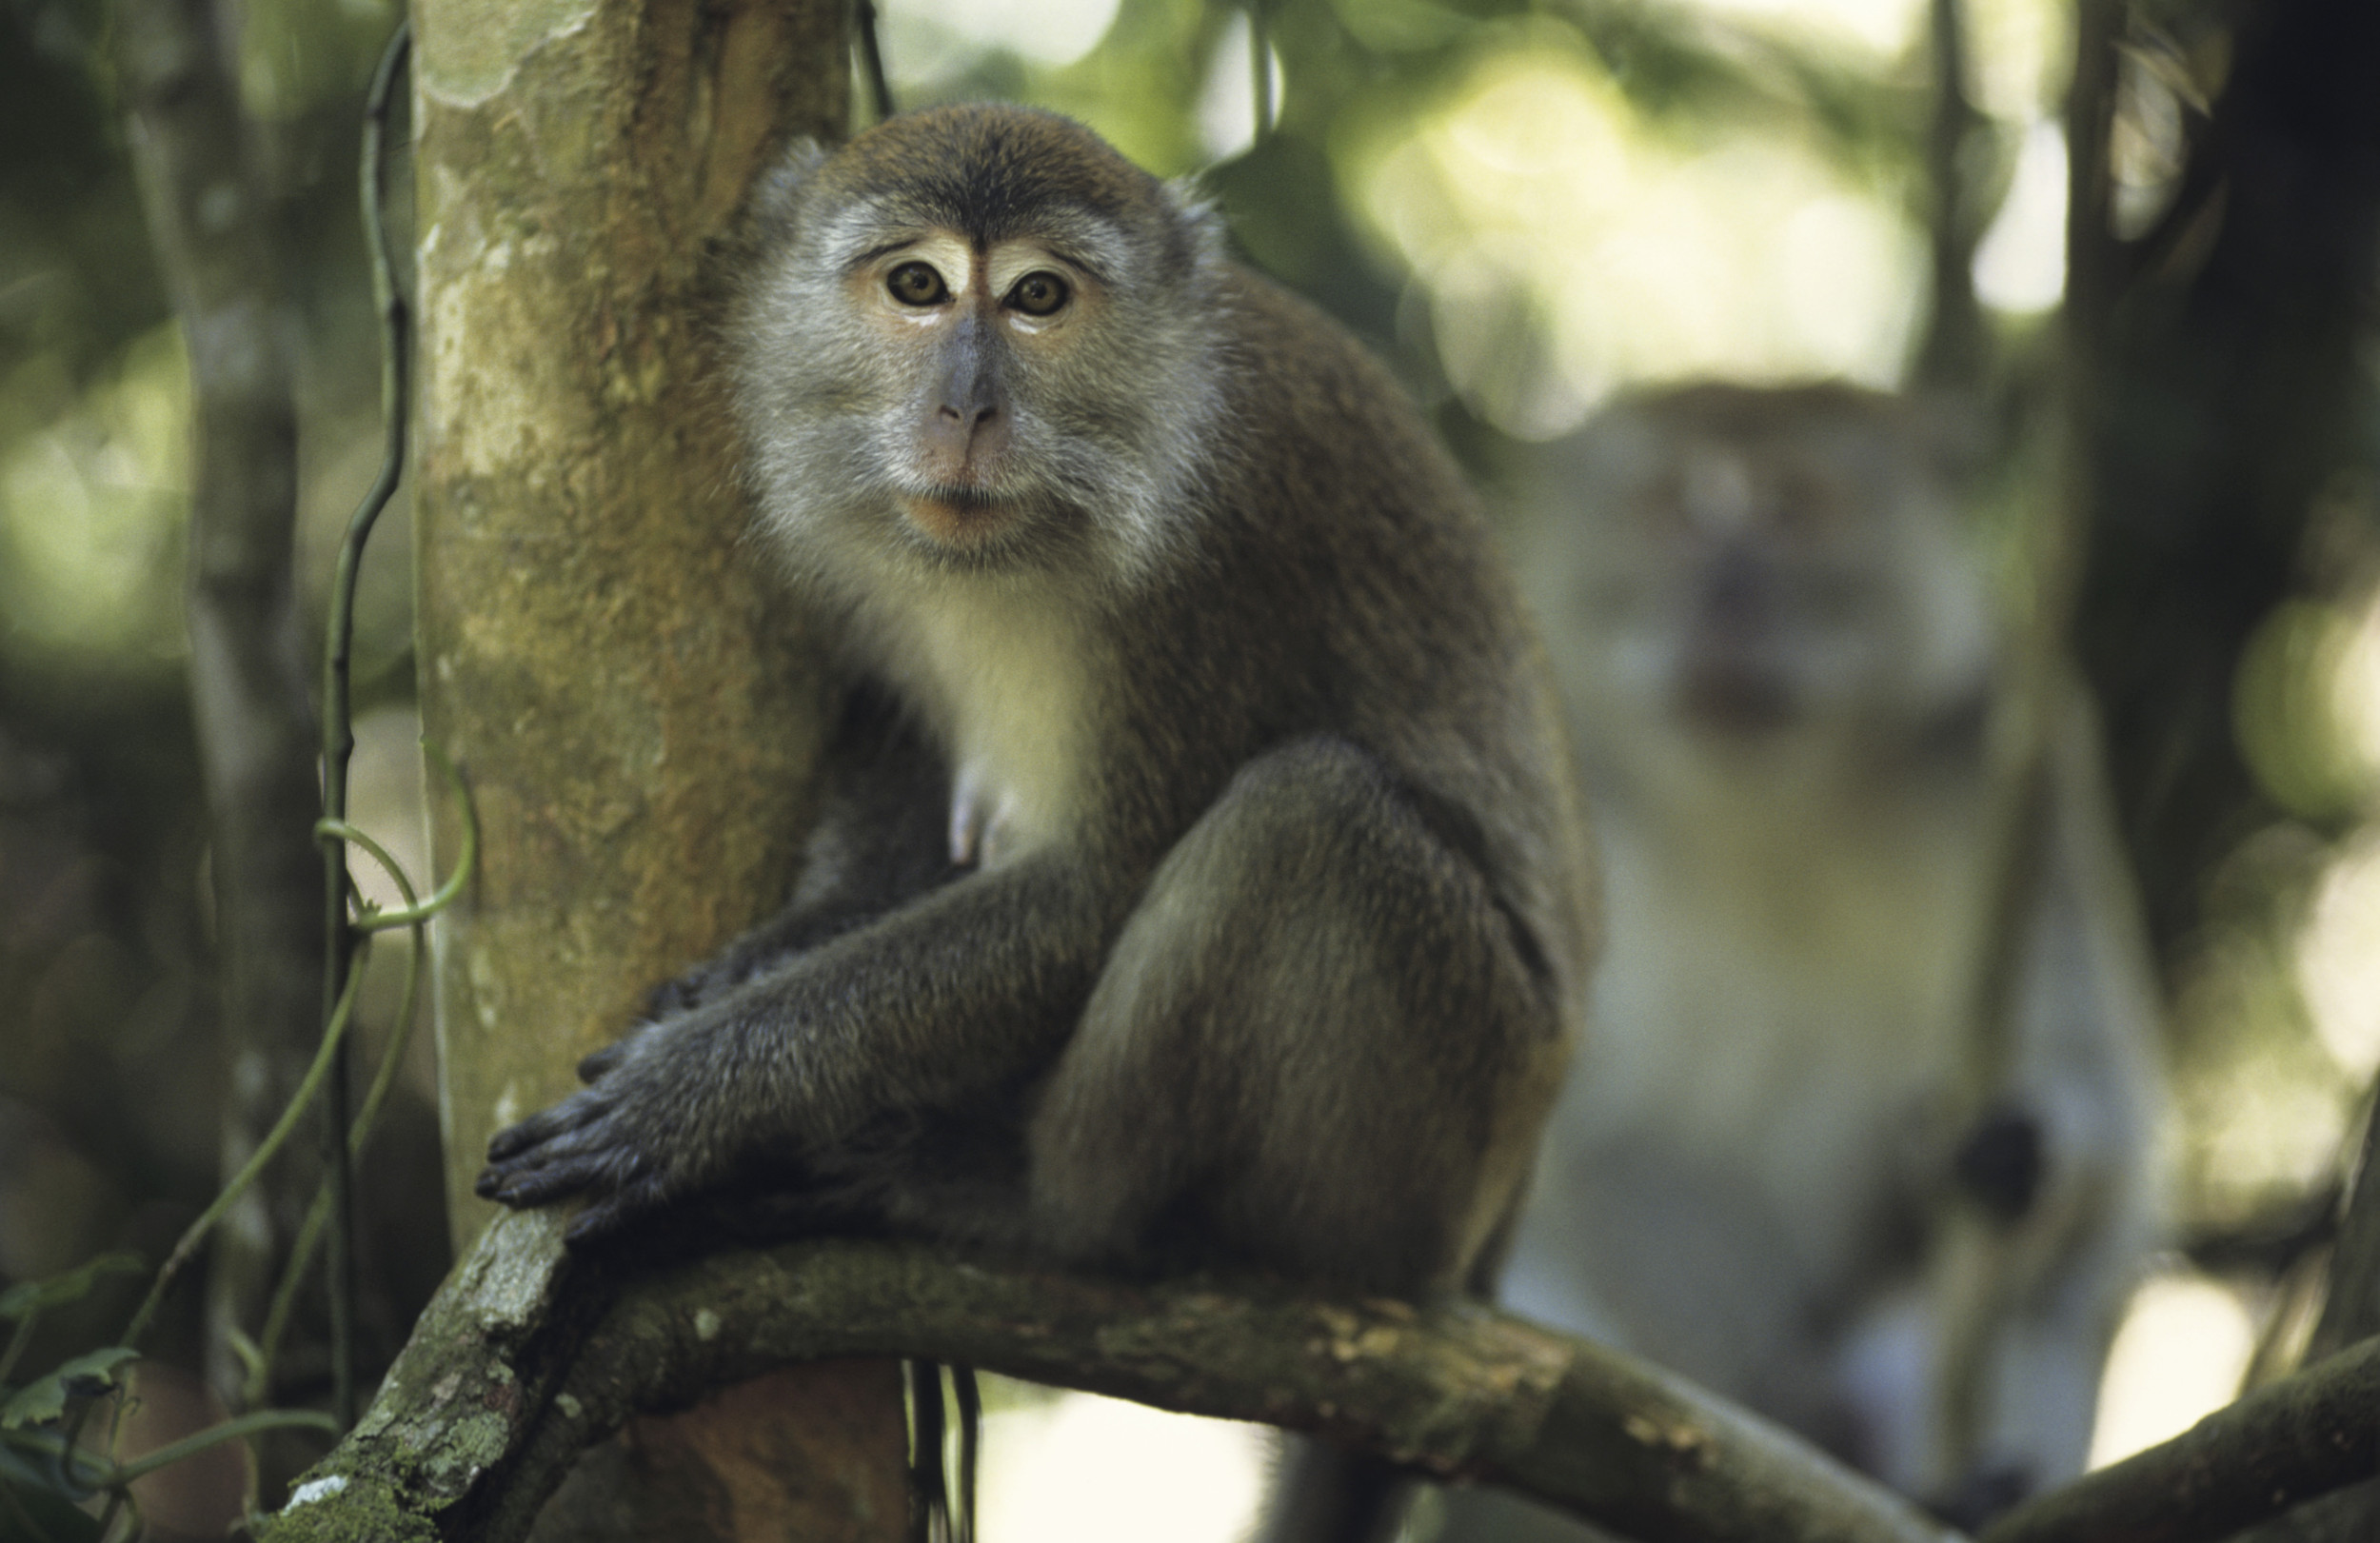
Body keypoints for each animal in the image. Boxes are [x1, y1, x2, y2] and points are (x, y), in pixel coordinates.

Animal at [472, 103, 1595, 1539]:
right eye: (916, 286)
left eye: (1038, 299)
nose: (965, 405)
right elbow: (892, 715)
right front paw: (788, 943)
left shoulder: (1212, 558)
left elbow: (1098, 888)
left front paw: (702, 1094)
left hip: (1427, 1153)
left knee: (1303, 818)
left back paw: (1026, 1204)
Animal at [1428, 382, 2163, 1540]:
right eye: (1672, 508)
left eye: (1793, 508)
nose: (1726, 596)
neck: (1758, 808)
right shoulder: (1543, 747)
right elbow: (1563, 1117)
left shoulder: (2016, 769)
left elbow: (2098, 1126)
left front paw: (2011, 1154)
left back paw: (1956, 1491)